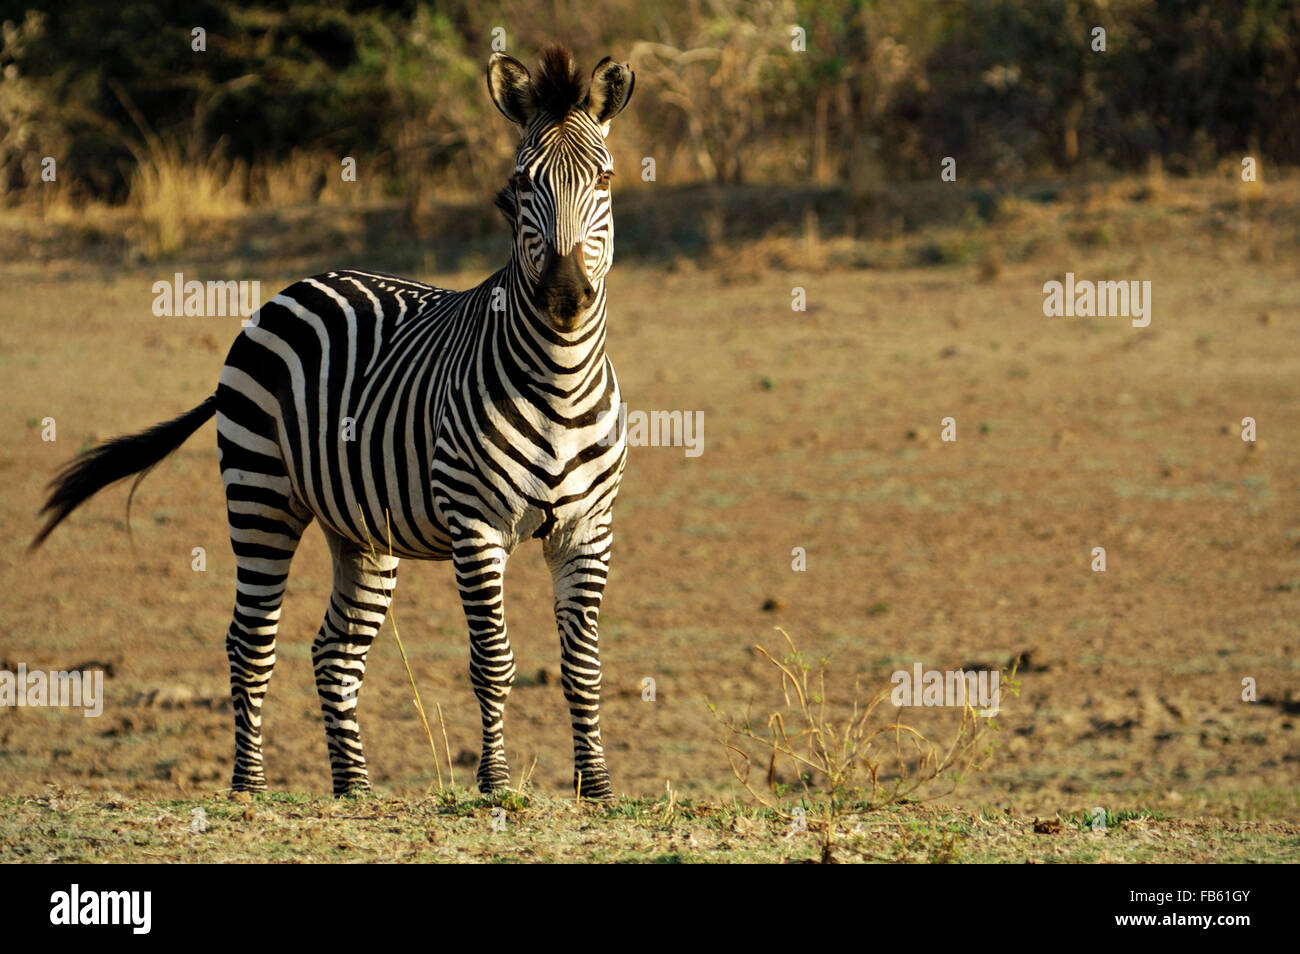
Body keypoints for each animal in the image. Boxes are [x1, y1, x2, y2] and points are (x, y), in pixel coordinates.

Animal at [31, 46, 635, 800]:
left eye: (604, 178)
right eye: (523, 184)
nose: (564, 294)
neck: (558, 376)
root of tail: (297, 287)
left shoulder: (589, 529)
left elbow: (583, 666)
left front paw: (598, 788)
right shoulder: (476, 527)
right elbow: (493, 661)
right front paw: (495, 785)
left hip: (362, 531)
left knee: (334, 652)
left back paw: (355, 788)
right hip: (260, 496)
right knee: (250, 642)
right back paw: (249, 785)